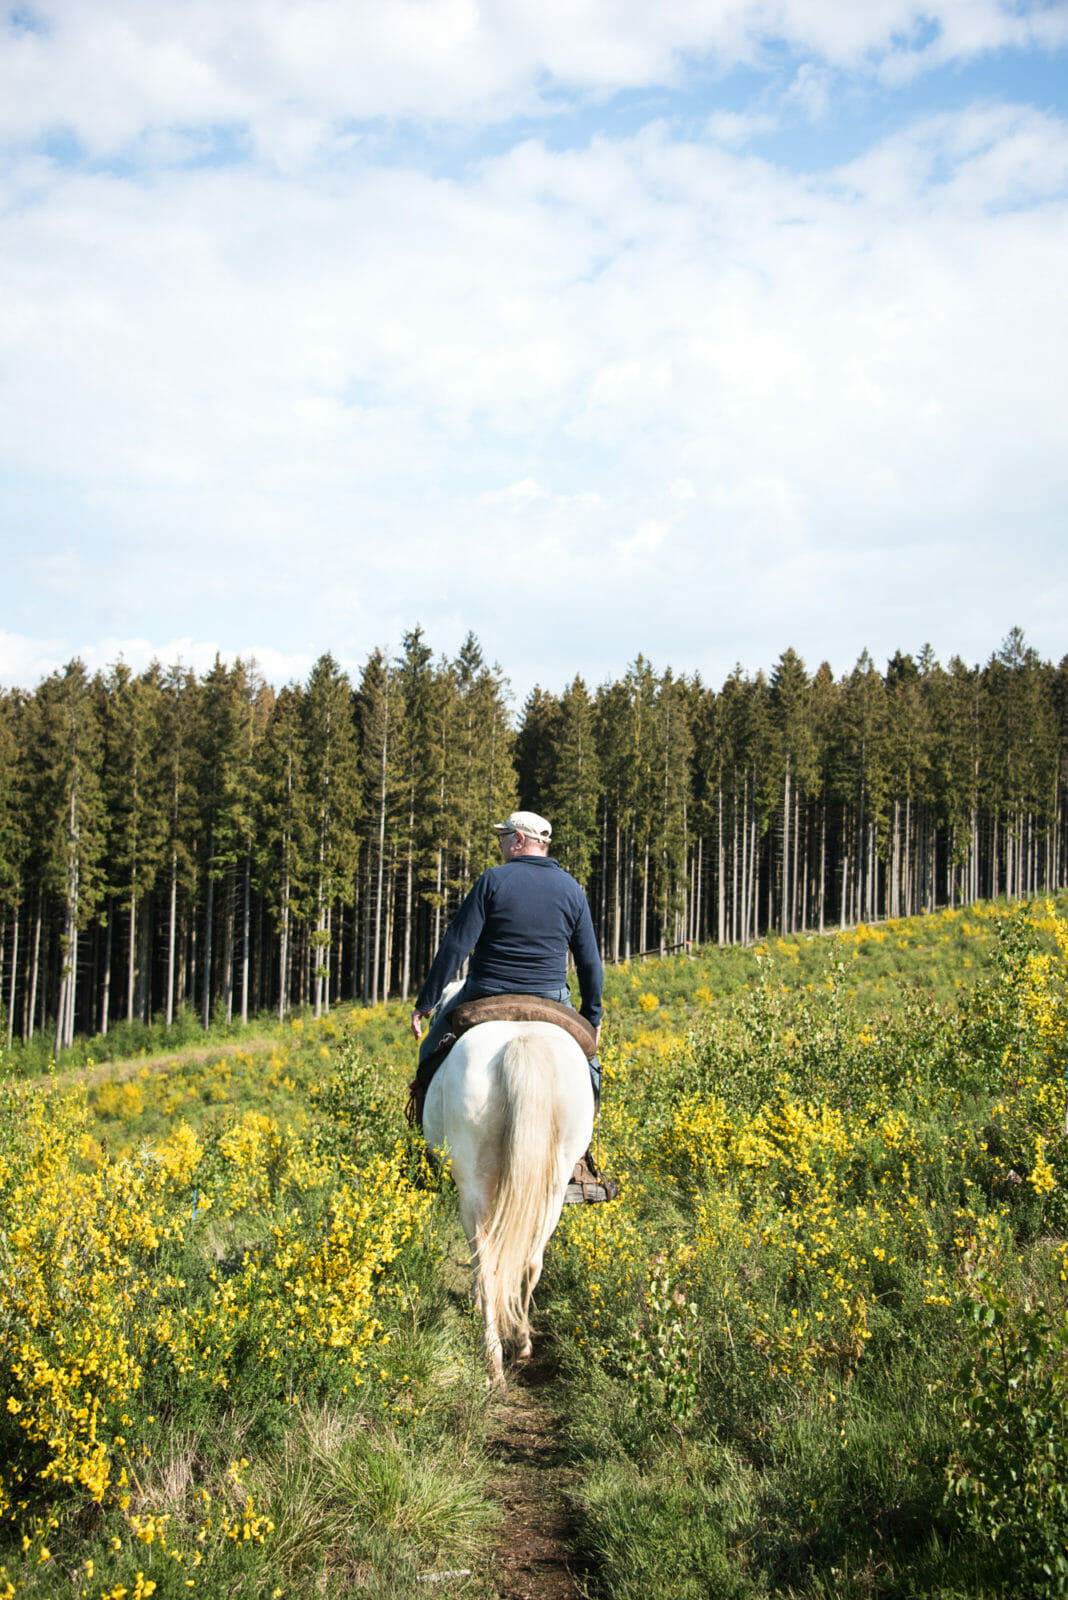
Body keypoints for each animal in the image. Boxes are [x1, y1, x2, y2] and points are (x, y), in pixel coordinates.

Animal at [421, 1000, 594, 1387]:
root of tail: (522, 1042)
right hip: (554, 1185)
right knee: (530, 1260)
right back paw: (522, 1341)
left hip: (473, 1184)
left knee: (485, 1262)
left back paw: (493, 1357)